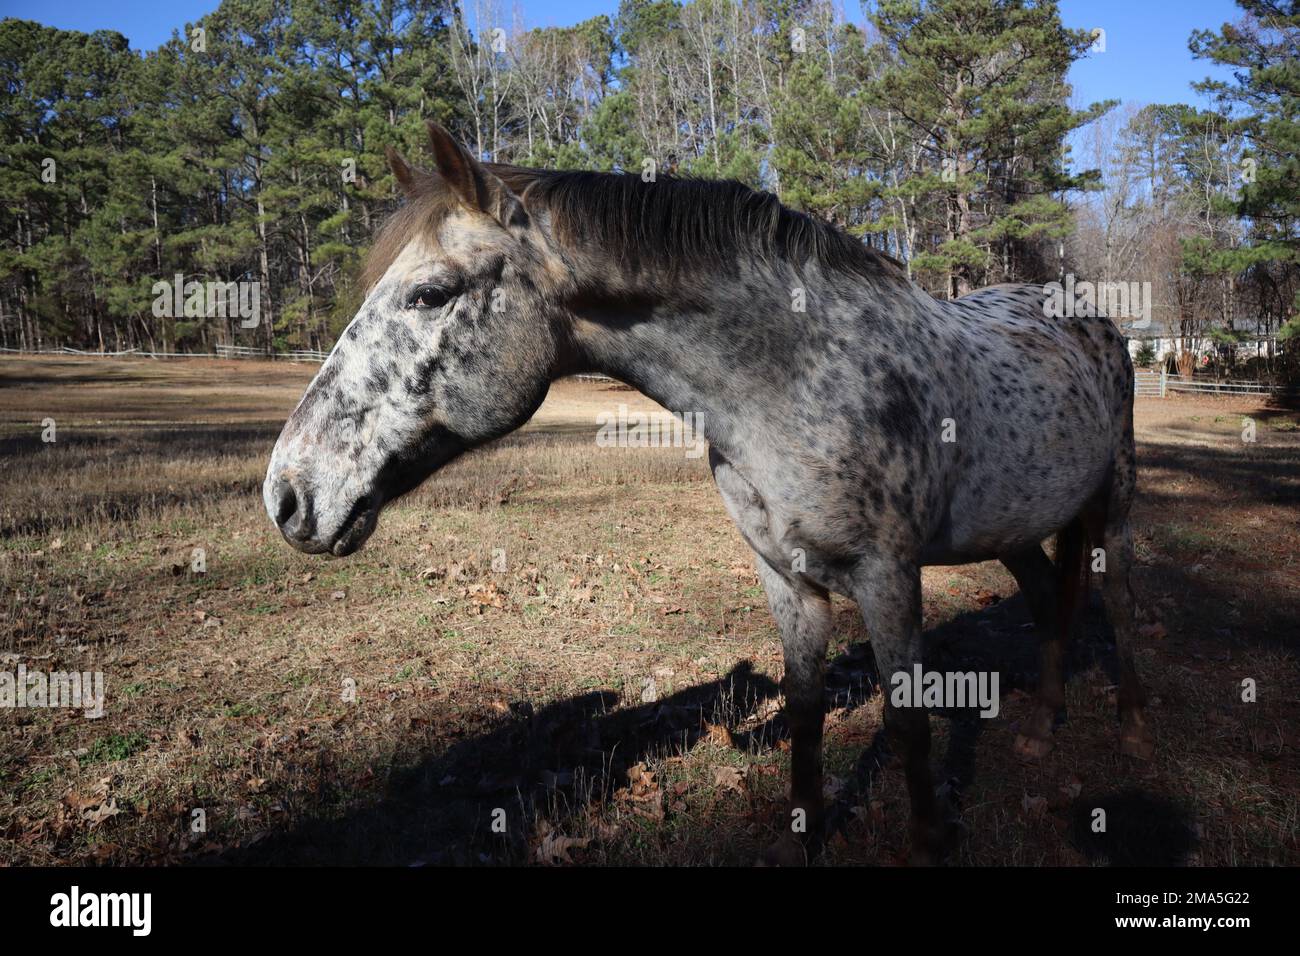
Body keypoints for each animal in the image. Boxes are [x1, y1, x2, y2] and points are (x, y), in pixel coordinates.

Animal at [263, 123, 1153, 864]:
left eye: (430, 293)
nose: (288, 495)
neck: (795, 381)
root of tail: (1087, 314)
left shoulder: (888, 577)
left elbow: (907, 722)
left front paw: (931, 844)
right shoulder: (786, 577)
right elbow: (805, 706)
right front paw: (805, 837)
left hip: (1113, 503)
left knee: (1116, 599)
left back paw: (1135, 723)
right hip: (1016, 529)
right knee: (1049, 603)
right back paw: (1043, 731)